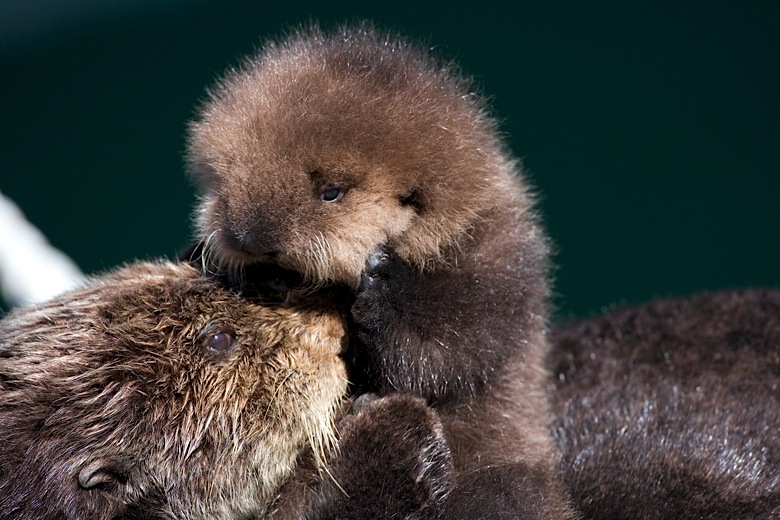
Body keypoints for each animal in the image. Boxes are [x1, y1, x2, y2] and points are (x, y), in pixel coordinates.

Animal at [186, 23, 569, 518]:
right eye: (227, 173)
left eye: (331, 192)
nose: (248, 237)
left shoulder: (495, 269)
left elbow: (443, 352)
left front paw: (385, 289)